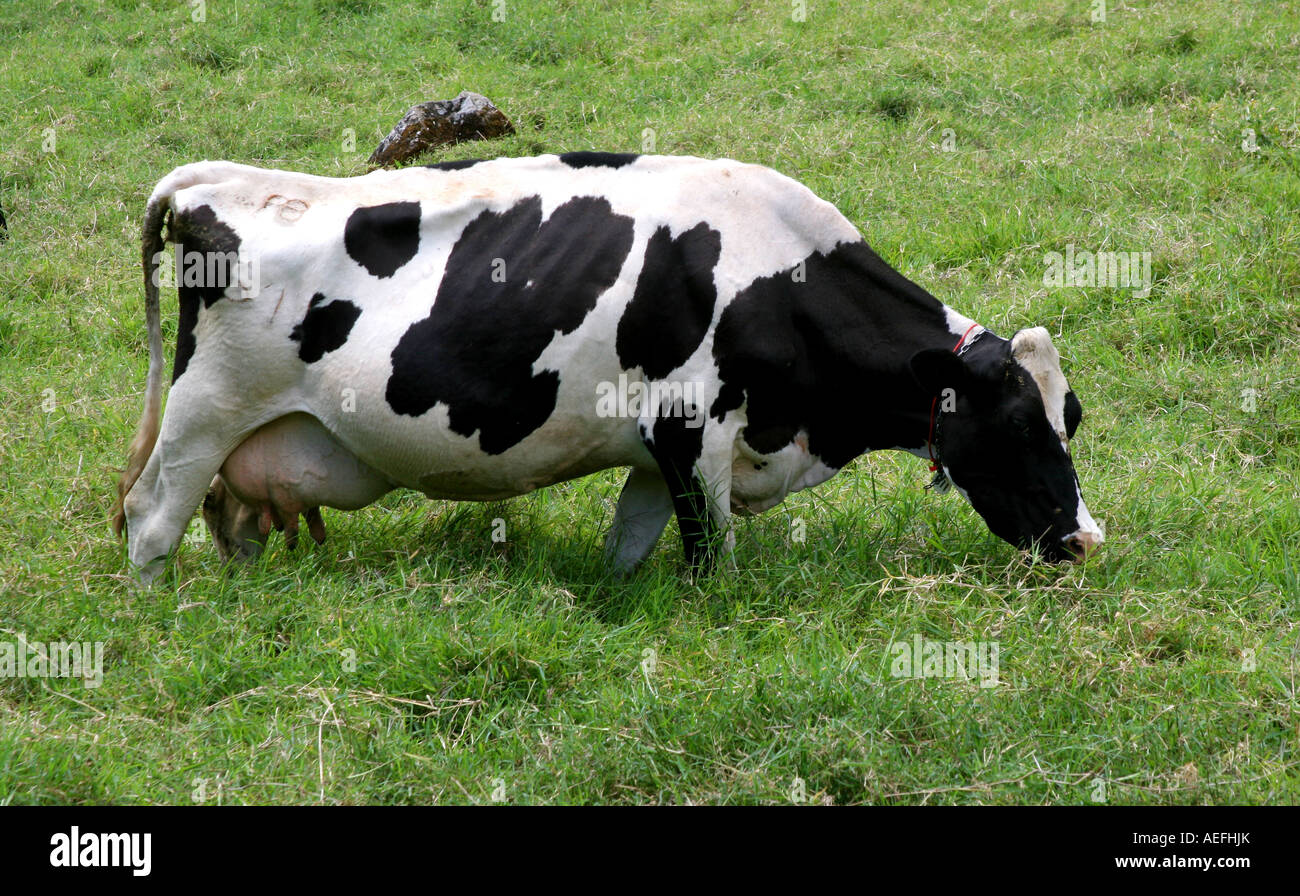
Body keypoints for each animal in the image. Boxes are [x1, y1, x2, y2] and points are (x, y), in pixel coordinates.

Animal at [111, 152, 1103, 583]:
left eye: (1073, 415)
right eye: (1020, 422)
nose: (1086, 538)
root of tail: (216, 183)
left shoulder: (656, 455)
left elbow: (628, 550)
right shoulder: (691, 428)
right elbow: (712, 562)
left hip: (241, 452)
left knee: (223, 520)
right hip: (204, 413)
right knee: (150, 521)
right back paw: (167, 612)